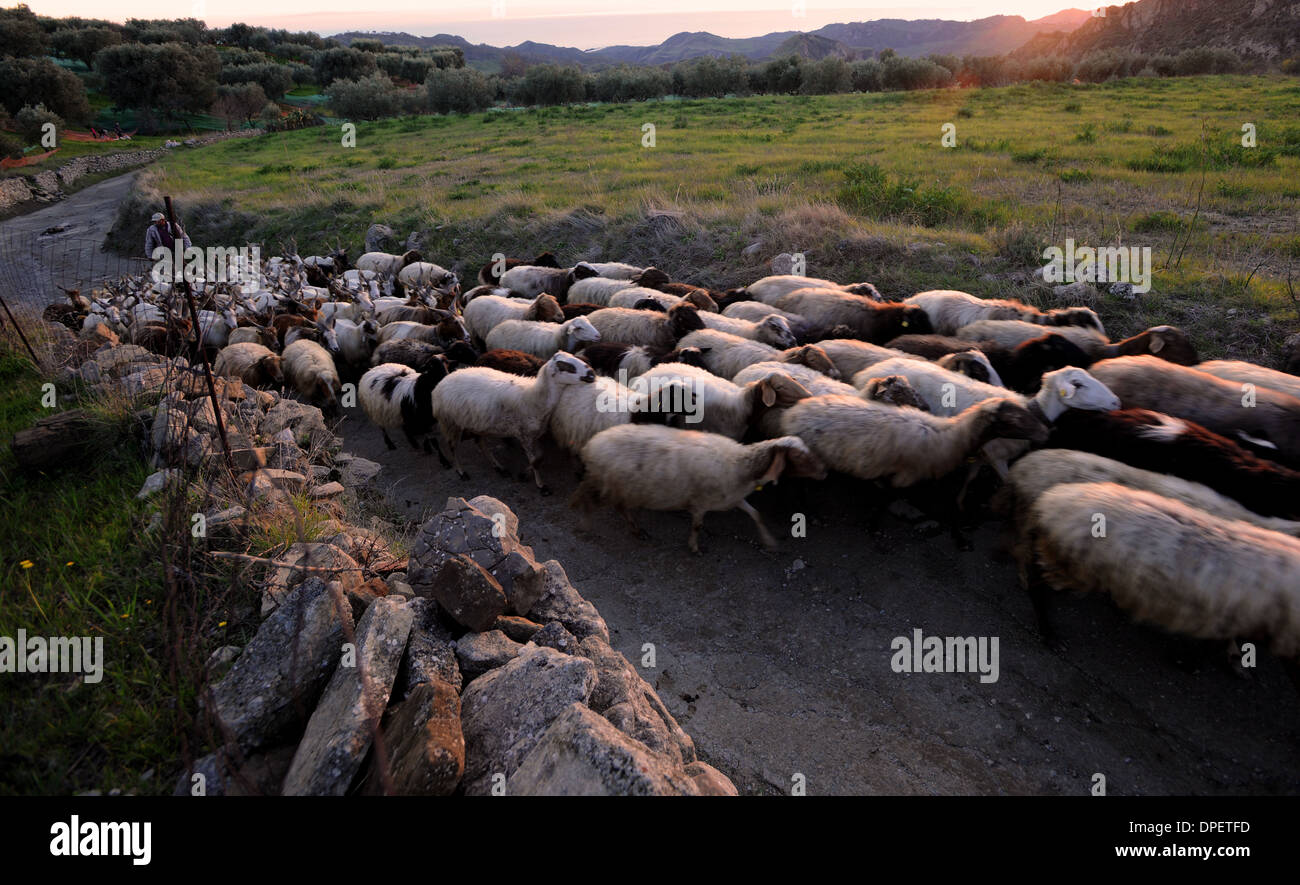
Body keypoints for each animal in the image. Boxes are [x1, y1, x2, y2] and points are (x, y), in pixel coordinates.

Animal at [428, 351, 596, 492]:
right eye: (566, 367)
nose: (592, 374)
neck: (534, 396)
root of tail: (442, 382)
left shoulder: (535, 434)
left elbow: (540, 457)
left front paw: (526, 474)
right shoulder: (524, 434)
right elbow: (535, 460)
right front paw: (541, 486)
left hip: (476, 422)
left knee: (480, 443)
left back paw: (498, 467)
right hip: (450, 422)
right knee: (453, 447)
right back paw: (461, 471)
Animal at [571, 426, 827, 553]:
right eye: (798, 456)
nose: (824, 472)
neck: (740, 464)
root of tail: (590, 445)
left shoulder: (733, 498)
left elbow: (756, 514)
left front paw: (769, 542)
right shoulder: (701, 504)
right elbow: (697, 525)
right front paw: (695, 547)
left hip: (621, 487)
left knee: (618, 507)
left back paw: (637, 530)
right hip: (607, 482)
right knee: (586, 497)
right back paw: (584, 524)